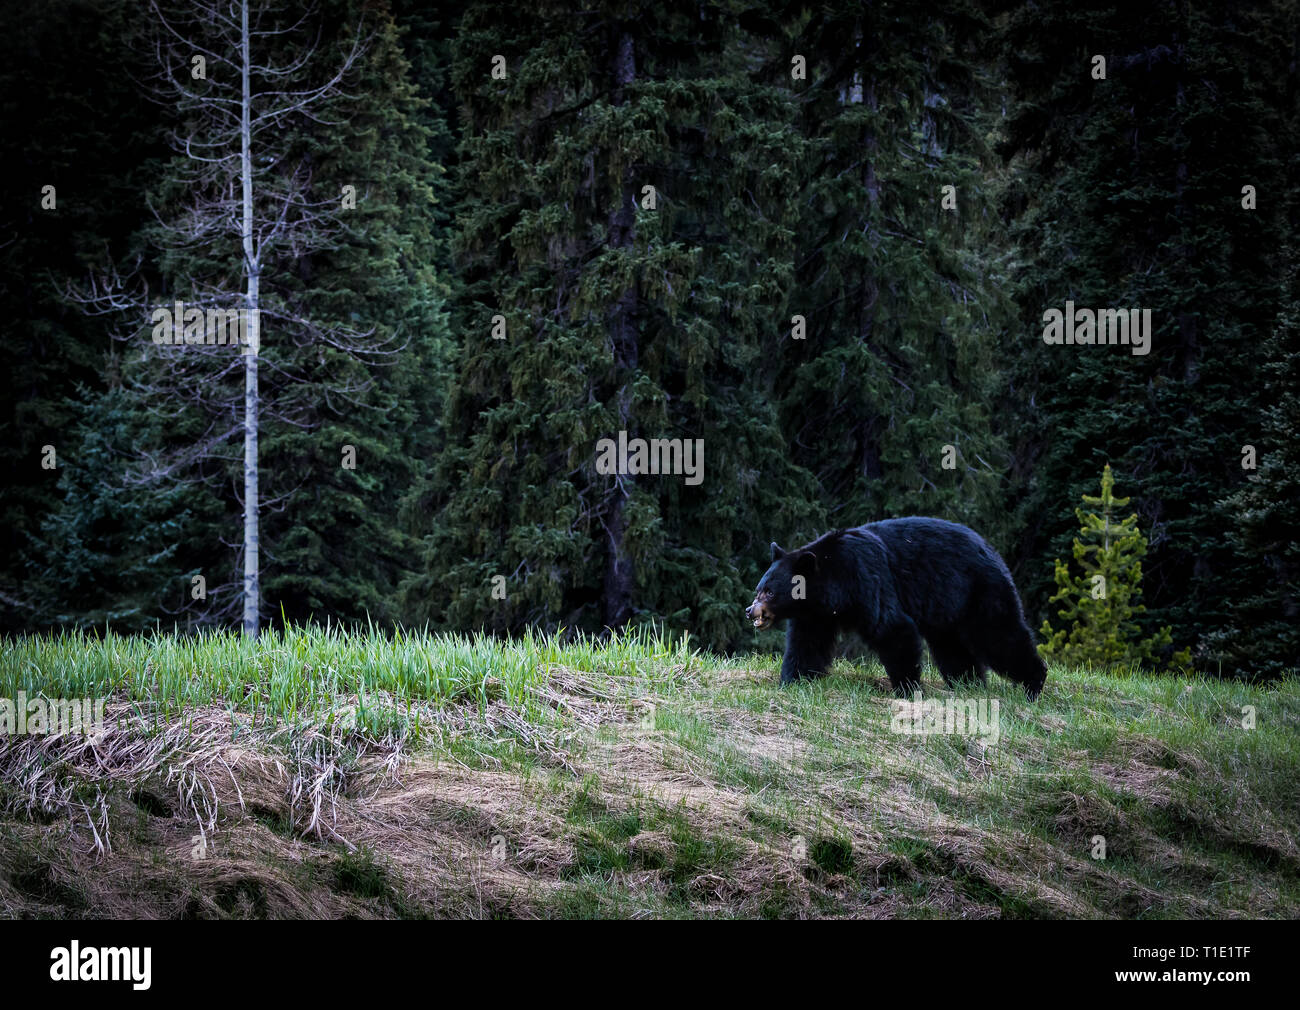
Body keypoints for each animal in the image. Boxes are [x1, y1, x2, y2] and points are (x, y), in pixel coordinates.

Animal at [744, 517, 1047, 700]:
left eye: (769, 591)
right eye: (759, 587)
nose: (750, 610)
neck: (834, 585)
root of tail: (991, 549)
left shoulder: (867, 581)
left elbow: (893, 629)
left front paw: (907, 689)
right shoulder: (816, 615)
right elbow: (806, 645)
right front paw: (792, 680)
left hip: (980, 589)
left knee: (999, 635)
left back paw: (1033, 683)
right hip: (947, 609)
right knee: (953, 649)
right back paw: (968, 684)